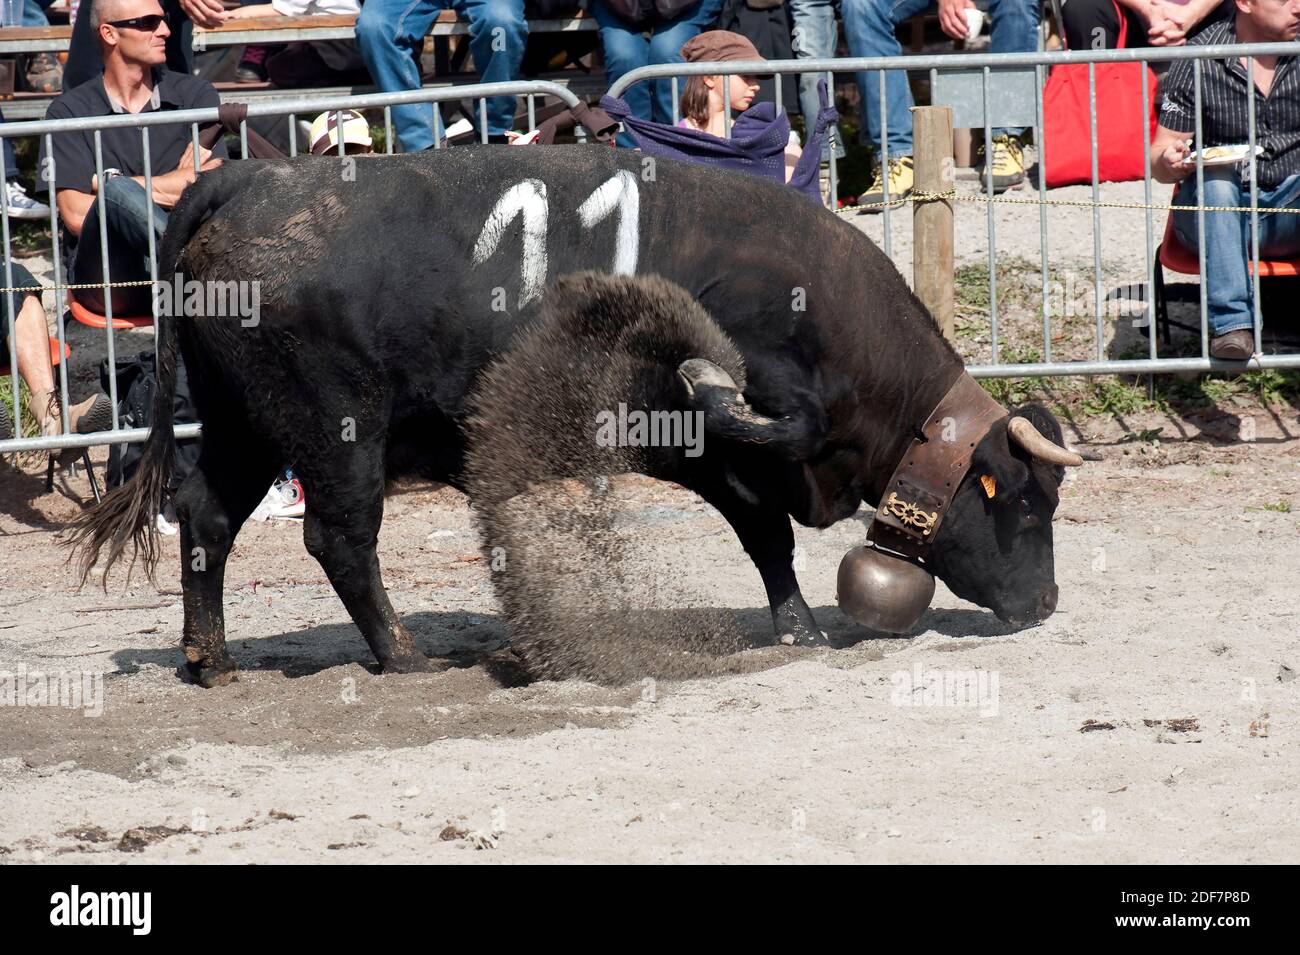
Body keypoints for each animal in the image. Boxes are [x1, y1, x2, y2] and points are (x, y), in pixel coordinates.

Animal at [72, 145, 1082, 687]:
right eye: (1028, 501)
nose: (1045, 601)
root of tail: (248, 180)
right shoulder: (741, 425)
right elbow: (758, 437)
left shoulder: (724, 468)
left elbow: (767, 537)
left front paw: (797, 624)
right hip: (335, 432)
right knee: (340, 539)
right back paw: (401, 652)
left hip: (244, 427)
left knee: (206, 517)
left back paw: (211, 657)